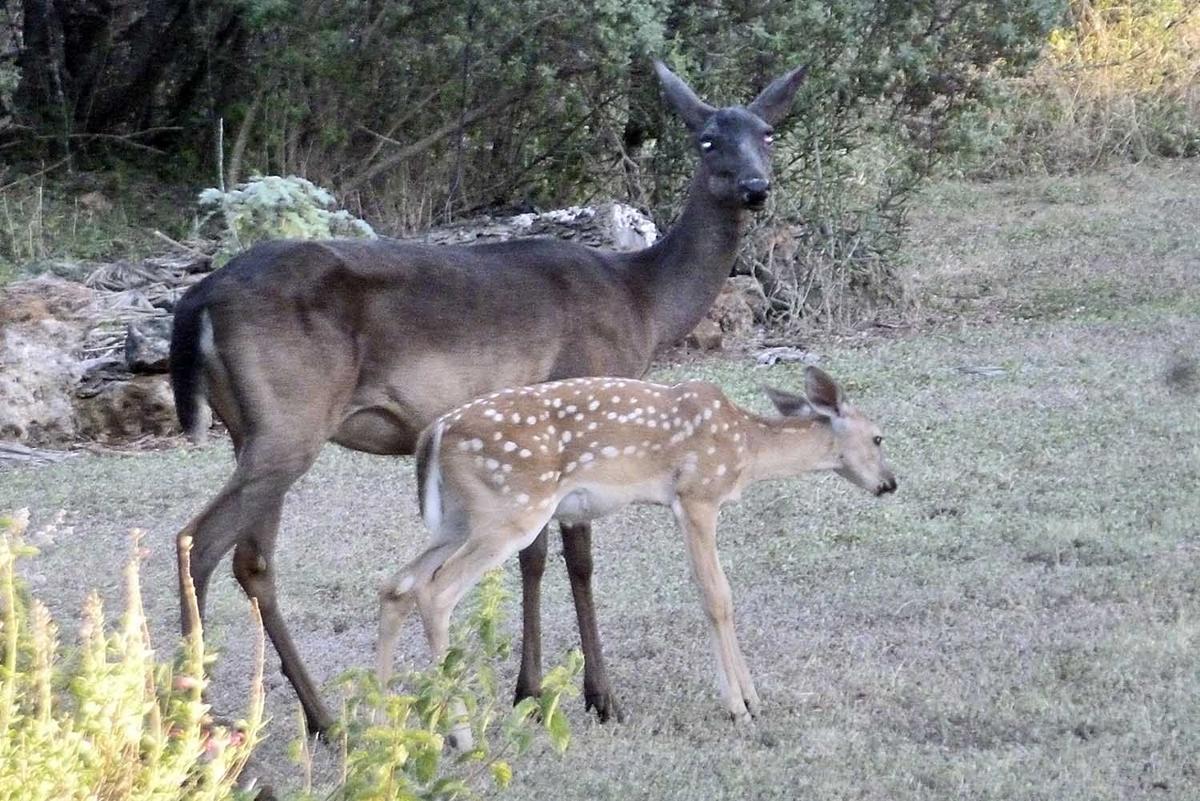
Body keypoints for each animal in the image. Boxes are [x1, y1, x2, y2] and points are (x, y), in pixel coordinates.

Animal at [168, 60, 808, 735]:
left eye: (766, 132)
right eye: (707, 140)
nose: (756, 187)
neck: (644, 303)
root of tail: (198, 299)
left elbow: (534, 557)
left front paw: (529, 691)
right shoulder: (588, 393)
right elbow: (578, 560)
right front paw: (599, 696)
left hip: (254, 429)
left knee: (252, 560)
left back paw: (318, 718)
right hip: (290, 418)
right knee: (199, 542)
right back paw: (194, 716)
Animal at [376, 366, 896, 742]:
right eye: (877, 437)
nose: (890, 483)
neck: (745, 448)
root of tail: (434, 433)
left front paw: (751, 698)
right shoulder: (696, 496)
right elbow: (717, 597)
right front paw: (740, 708)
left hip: (459, 520)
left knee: (397, 585)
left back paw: (383, 721)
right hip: (512, 509)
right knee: (436, 591)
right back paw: (459, 735)